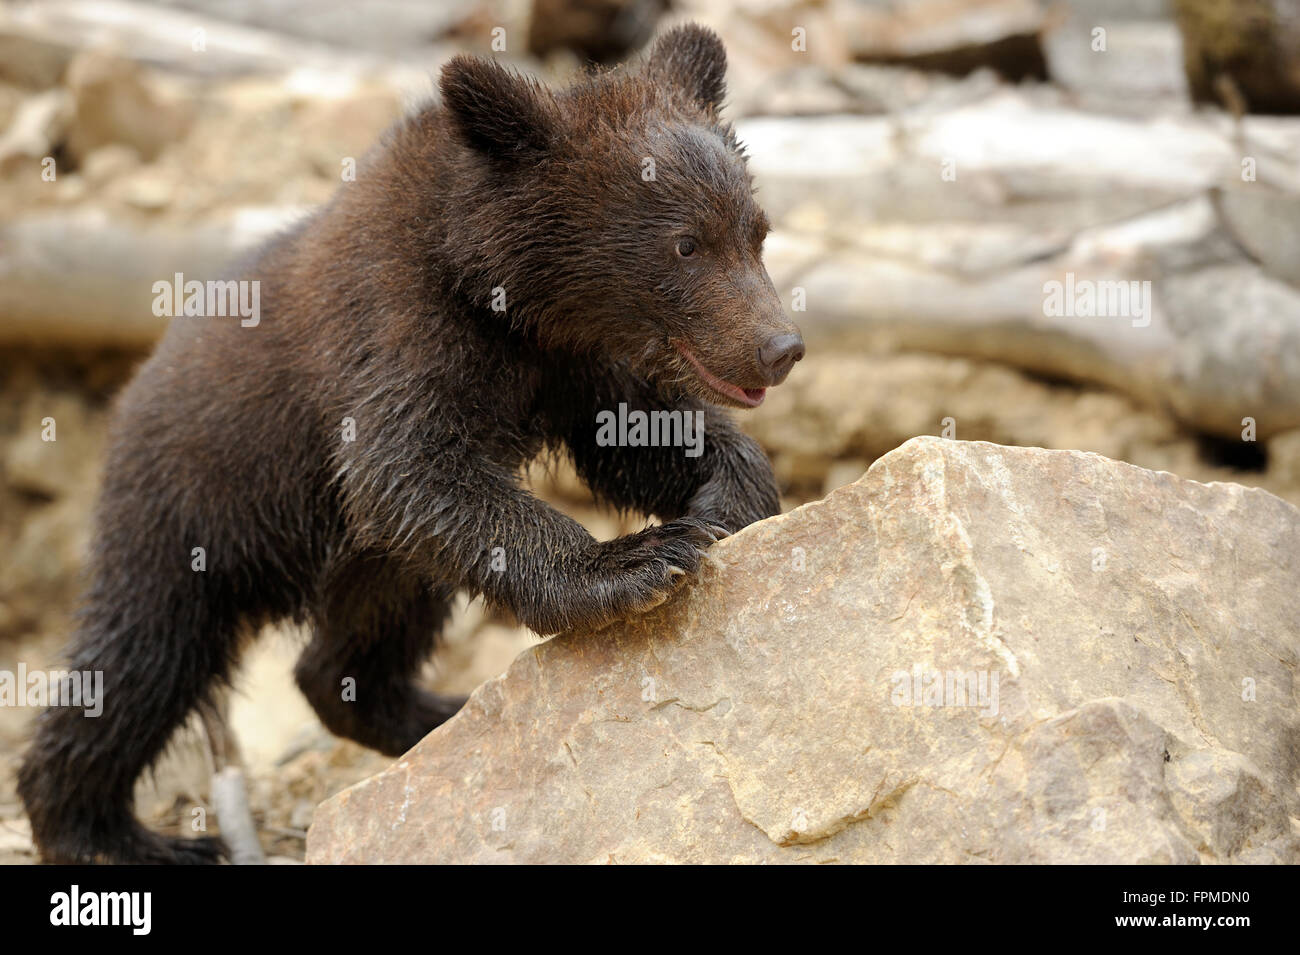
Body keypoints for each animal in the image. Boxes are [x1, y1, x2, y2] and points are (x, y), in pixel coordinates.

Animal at [17, 23, 804, 864]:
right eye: (685, 244)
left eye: (755, 230)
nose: (779, 347)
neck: (503, 296)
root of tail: (130, 395)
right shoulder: (398, 326)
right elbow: (405, 464)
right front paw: (638, 561)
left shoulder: (576, 364)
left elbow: (636, 436)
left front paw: (728, 496)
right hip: (192, 508)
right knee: (142, 657)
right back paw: (111, 832)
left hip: (361, 554)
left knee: (367, 628)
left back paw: (429, 710)